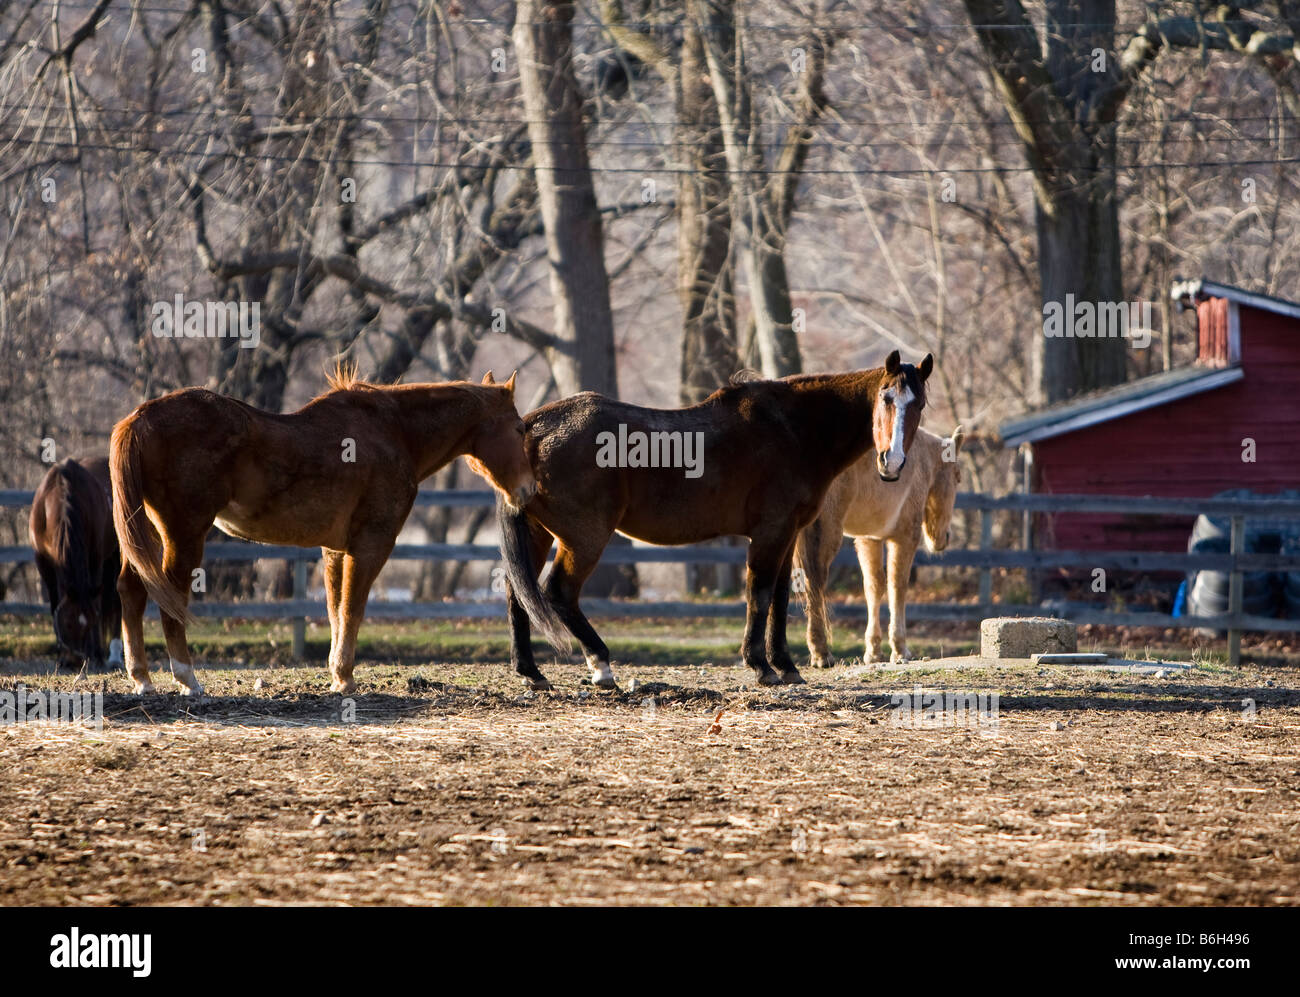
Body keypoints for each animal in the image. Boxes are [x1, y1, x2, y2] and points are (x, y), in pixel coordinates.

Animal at [29, 457, 123, 673]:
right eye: (67, 623)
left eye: (90, 623)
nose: (75, 660)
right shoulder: (44, 563)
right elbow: (54, 602)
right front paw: (60, 656)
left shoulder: (95, 559)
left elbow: (97, 603)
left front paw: (97, 655)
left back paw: (114, 656)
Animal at [110, 368, 540, 696]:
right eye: (519, 428)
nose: (529, 490)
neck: (395, 431)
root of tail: (140, 417)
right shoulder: (370, 545)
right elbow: (352, 608)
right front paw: (346, 677)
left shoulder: (334, 550)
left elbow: (335, 610)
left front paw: (337, 676)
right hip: (184, 535)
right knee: (170, 595)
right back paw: (187, 679)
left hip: (149, 533)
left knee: (132, 590)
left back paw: (142, 679)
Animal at [498, 350, 933, 690]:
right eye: (886, 396)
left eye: (919, 405)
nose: (891, 462)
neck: (794, 429)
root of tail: (535, 425)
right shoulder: (770, 534)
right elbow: (759, 595)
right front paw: (761, 666)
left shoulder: (787, 535)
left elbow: (778, 598)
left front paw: (785, 665)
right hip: (584, 538)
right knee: (559, 591)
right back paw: (601, 665)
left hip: (538, 534)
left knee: (518, 593)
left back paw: (532, 672)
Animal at [795, 425, 963, 667]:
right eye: (957, 477)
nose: (944, 538)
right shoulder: (904, 537)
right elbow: (897, 586)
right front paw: (900, 649)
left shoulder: (869, 538)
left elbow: (873, 587)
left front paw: (874, 651)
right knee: (815, 582)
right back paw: (821, 652)